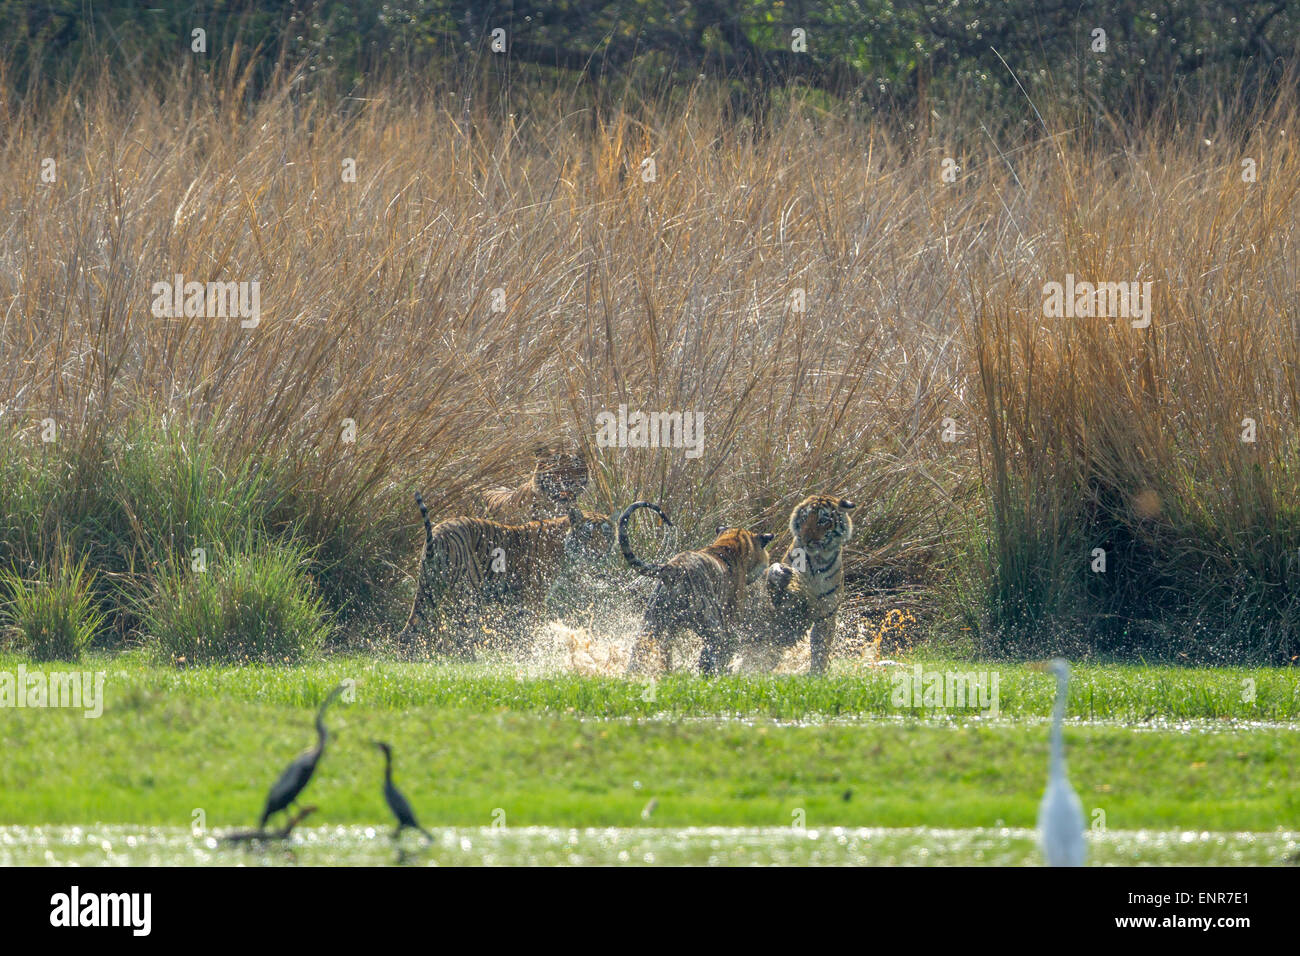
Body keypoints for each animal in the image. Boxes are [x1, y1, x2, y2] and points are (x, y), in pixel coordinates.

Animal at [398, 491, 615, 656]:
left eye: (606, 534)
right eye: (588, 534)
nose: (600, 553)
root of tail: (437, 535)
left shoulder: (516, 603)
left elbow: (516, 633)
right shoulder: (534, 599)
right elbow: (530, 632)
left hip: (427, 591)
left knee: (409, 630)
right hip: (468, 595)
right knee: (463, 635)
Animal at [618, 501, 774, 675]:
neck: (731, 544)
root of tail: (674, 567)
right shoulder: (731, 625)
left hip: (650, 624)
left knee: (637, 654)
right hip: (712, 626)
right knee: (709, 657)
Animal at [742, 495, 855, 674]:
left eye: (823, 520)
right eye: (804, 519)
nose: (805, 538)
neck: (817, 560)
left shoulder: (827, 613)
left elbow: (821, 648)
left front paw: (816, 674)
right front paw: (781, 574)